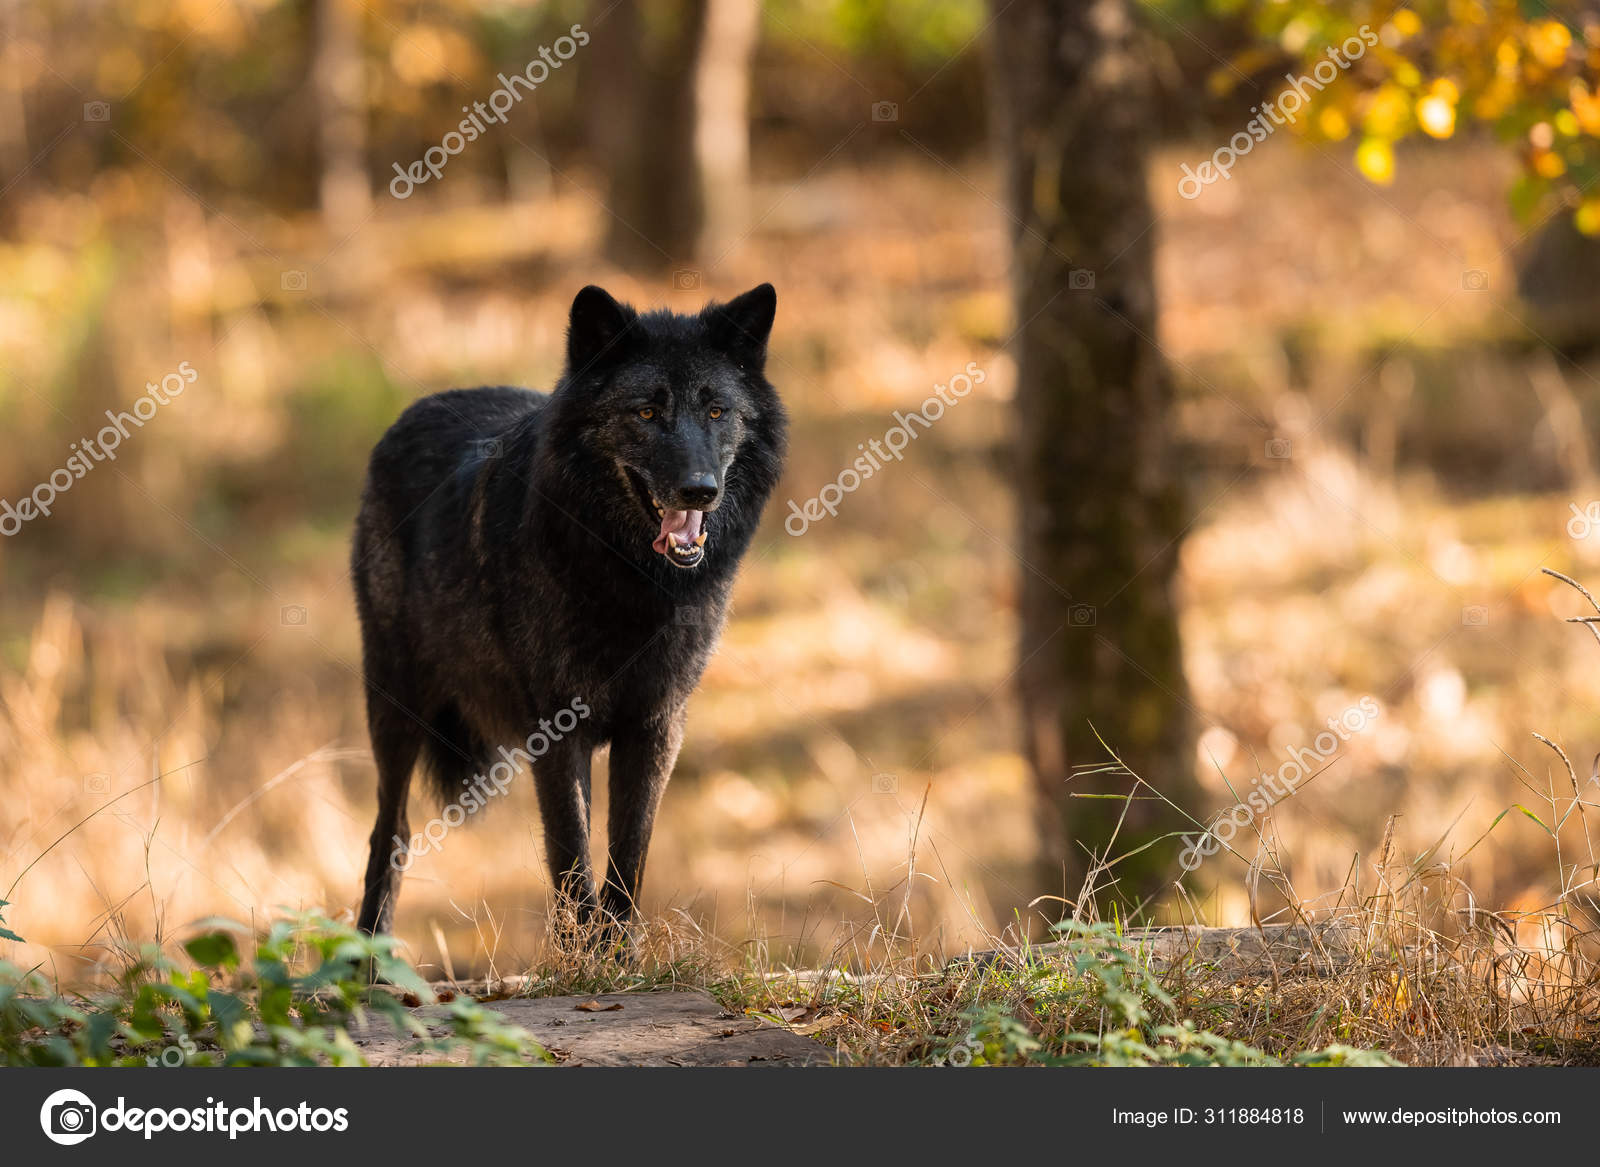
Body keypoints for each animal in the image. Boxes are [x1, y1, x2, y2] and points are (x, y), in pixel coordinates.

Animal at [351, 283, 786, 937]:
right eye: (646, 413)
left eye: (716, 412)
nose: (699, 489)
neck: (633, 583)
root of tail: (416, 409)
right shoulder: (556, 730)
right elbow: (573, 861)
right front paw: (581, 954)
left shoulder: (657, 726)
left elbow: (628, 859)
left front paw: (618, 953)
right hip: (395, 705)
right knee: (391, 831)